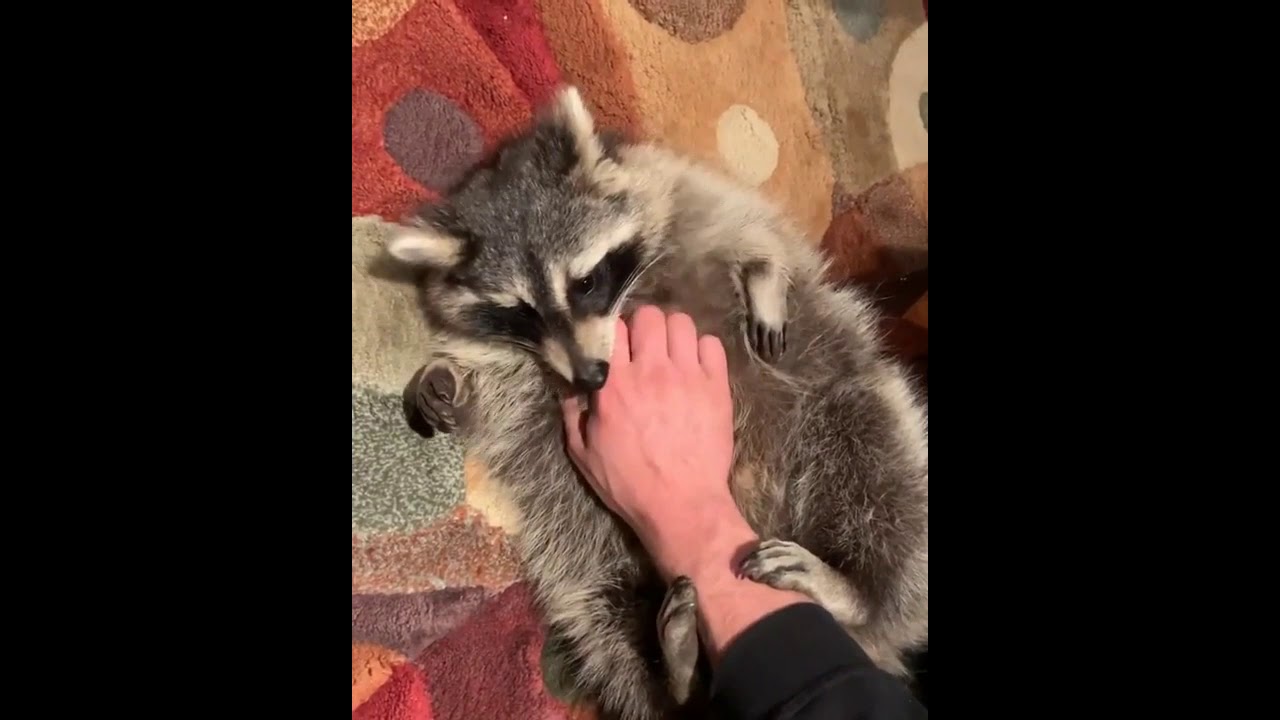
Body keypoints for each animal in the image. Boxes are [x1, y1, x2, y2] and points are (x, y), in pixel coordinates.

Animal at [385, 87, 928, 720]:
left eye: (584, 282)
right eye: (521, 312)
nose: (591, 377)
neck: (628, 302)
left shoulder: (683, 193)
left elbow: (758, 230)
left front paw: (766, 274)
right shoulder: (524, 367)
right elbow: (499, 386)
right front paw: (446, 379)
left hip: (845, 412)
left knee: (882, 475)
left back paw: (858, 591)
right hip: (595, 564)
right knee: (601, 610)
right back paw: (679, 676)